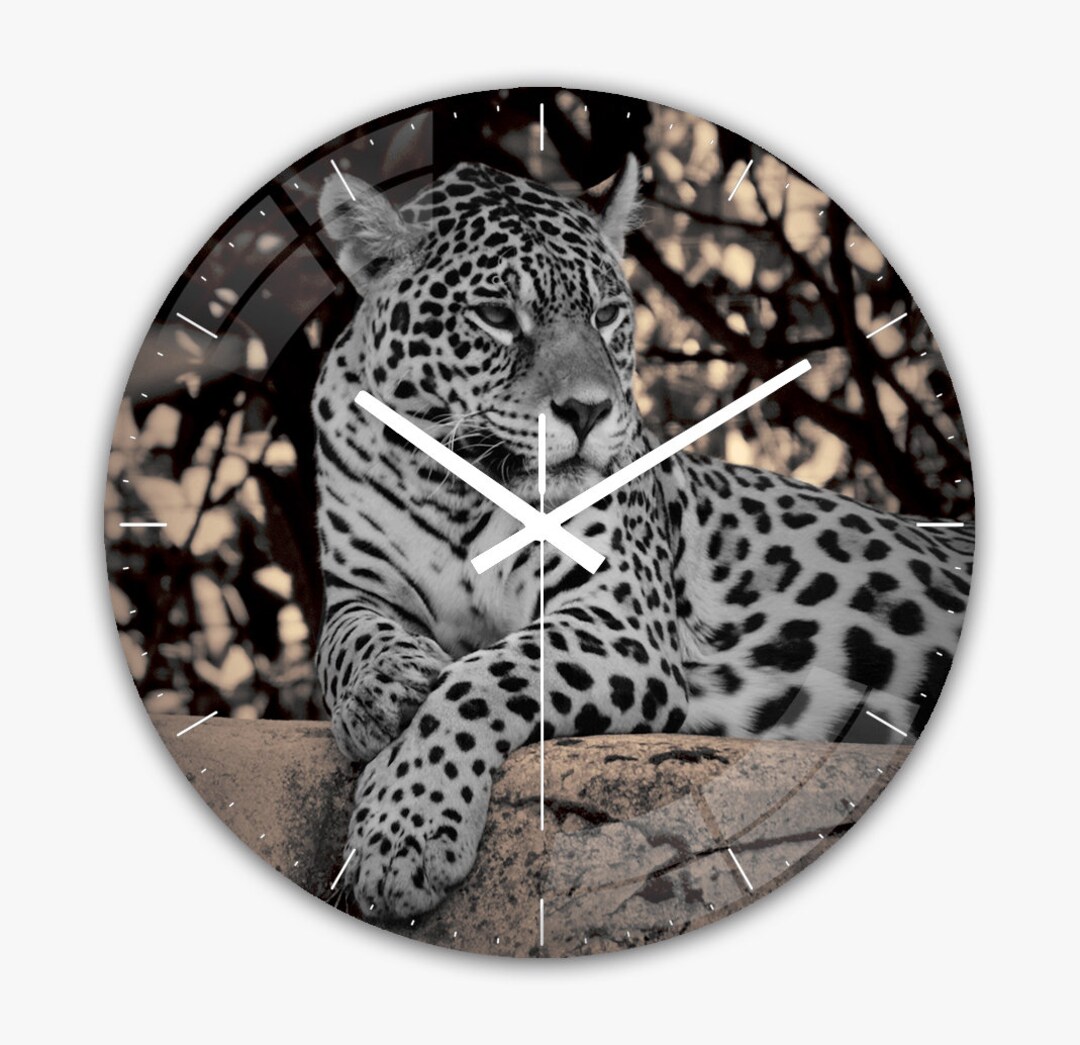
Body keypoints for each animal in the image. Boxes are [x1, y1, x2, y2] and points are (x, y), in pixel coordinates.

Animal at [312, 156, 974, 921]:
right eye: (497, 317)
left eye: (605, 314)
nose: (587, 411)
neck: (452, 484)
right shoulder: (356, 592)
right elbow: (346, 642)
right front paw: (380, 688)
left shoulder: (619, 617)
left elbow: (483, 677)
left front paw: (404, 827)